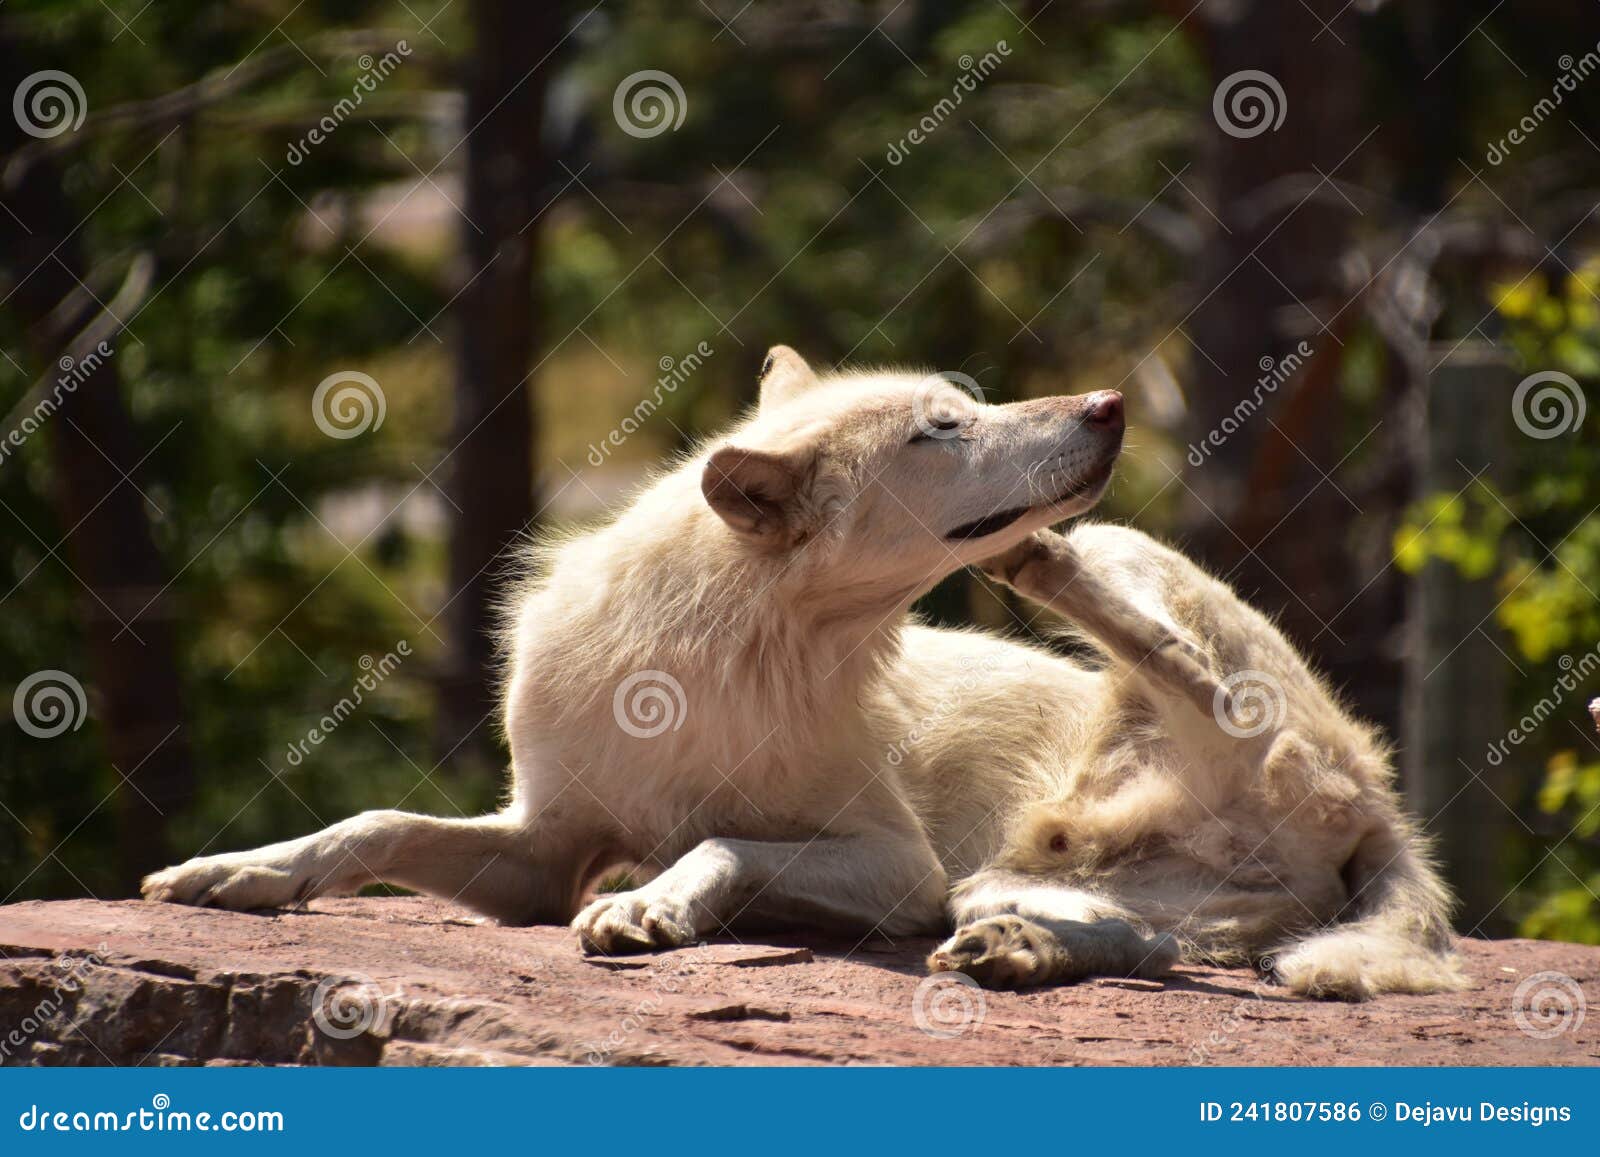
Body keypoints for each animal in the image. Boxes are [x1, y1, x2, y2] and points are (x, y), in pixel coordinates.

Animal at [144, 346, 1466, 999]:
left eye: (966, 404)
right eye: (941, 426)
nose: (1107, 401)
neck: (711, 662)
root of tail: (1392, 815)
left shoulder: (894, 865)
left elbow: (719, 841)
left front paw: (651, 906)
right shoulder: (541, 846)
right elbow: (367, 822)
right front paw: (233, 871)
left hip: (1134, 598)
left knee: (1205, 682)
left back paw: (1048, 572)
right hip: (1008, 879)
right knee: (1153, 947)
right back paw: (1020, 953)